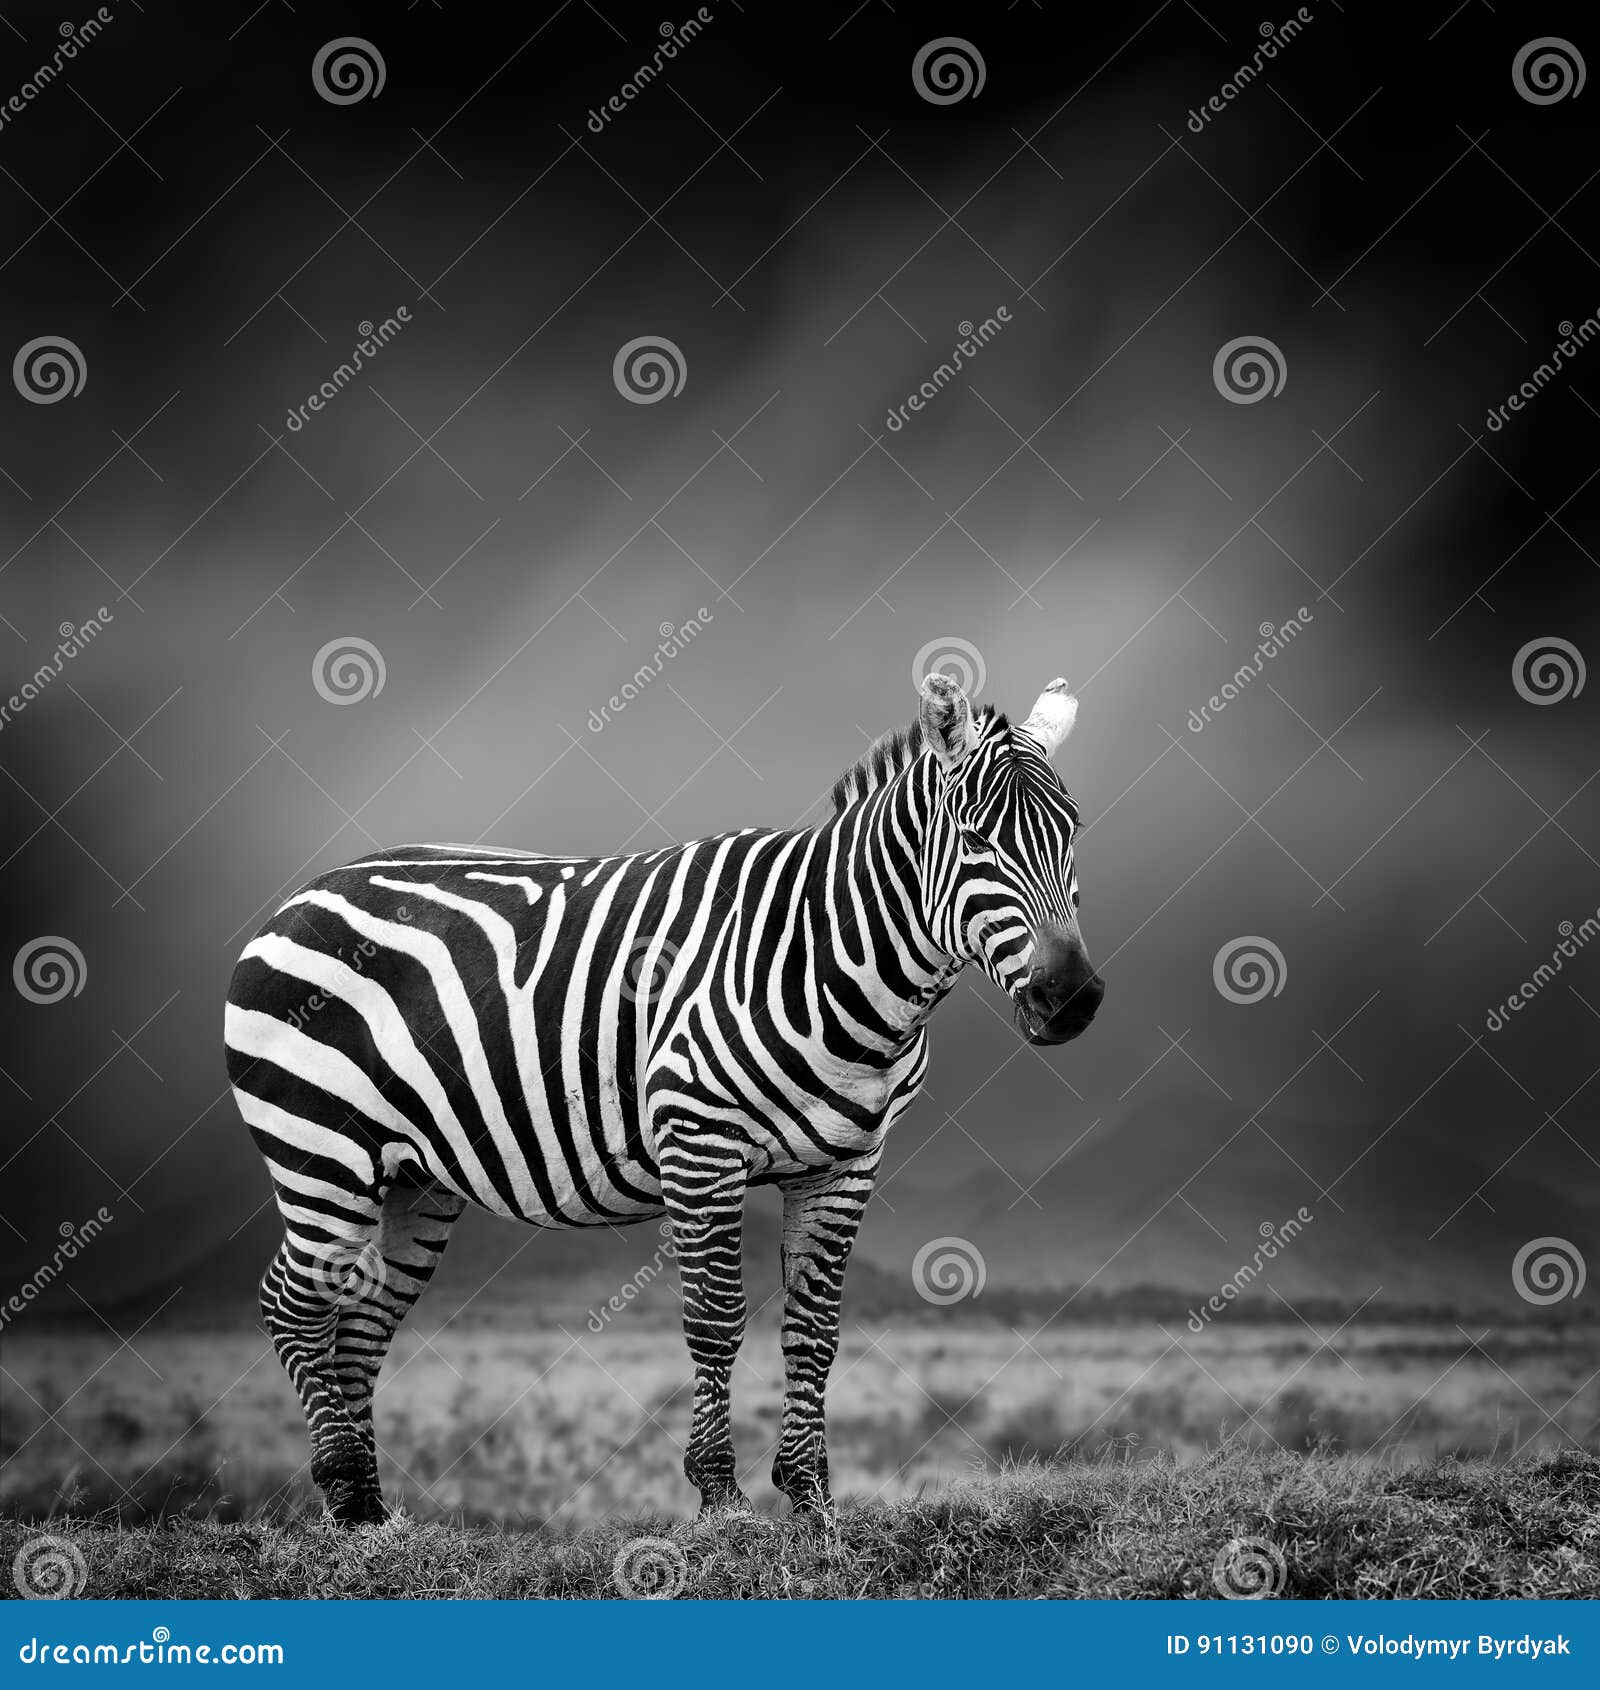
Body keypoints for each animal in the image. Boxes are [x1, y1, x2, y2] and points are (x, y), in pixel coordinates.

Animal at [224, 671, 1104, 1524]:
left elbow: (814, 1329)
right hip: (322, 1151)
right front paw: (720, 1495)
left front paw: (811, 1497)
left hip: (415, 1176)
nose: (1073, 999)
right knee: (291, 1304)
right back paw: (343, 1488)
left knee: (361, 1326)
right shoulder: (700, 1144)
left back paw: (370, 1515)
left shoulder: (847, 1164)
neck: (833, 963)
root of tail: (304, 892)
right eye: (977, 840)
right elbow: (715, 1319)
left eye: (1073, 834)